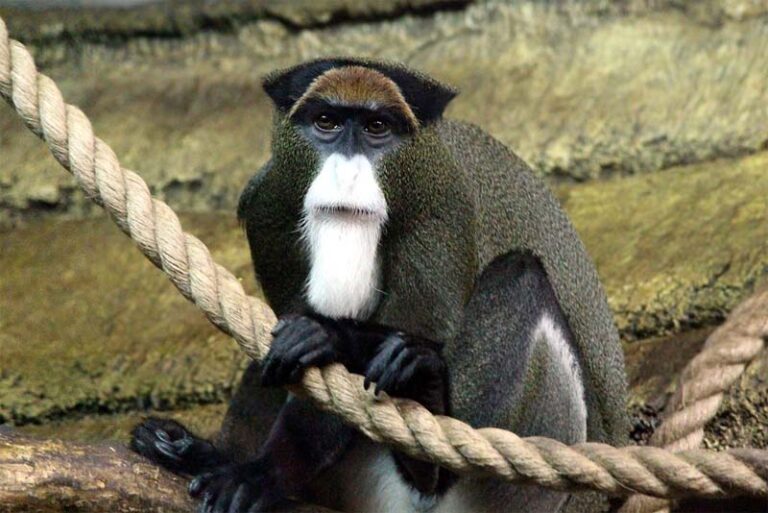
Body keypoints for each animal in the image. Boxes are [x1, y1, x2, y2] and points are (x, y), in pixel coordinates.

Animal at [131, 57, 628, 513]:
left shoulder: (441, 214)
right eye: (327, 122)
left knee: (521, 280)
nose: (348, 172)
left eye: (377, 127)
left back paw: (426, 449)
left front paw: (262, 472)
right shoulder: (269, 201)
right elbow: (289, 347)